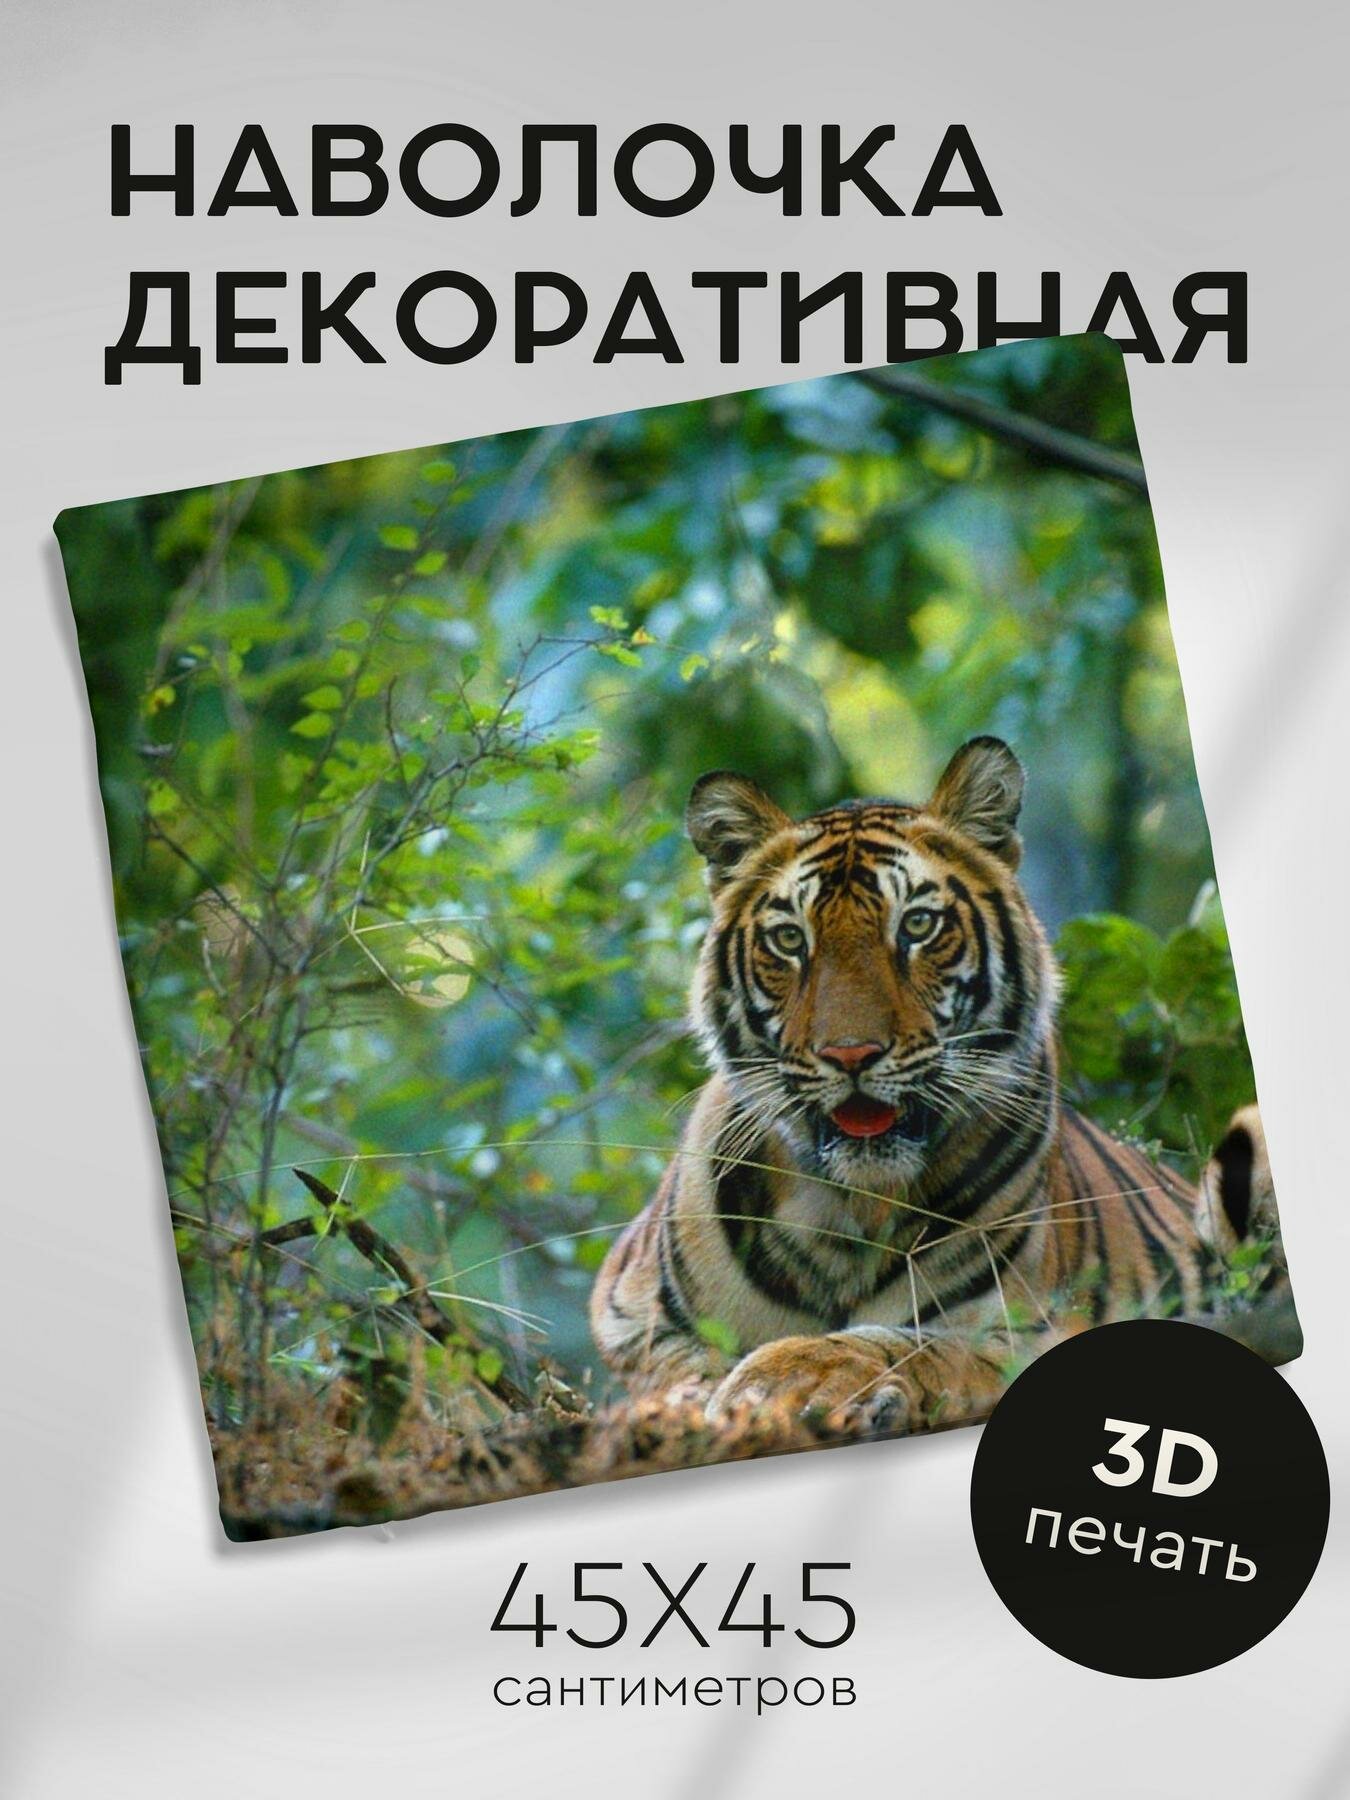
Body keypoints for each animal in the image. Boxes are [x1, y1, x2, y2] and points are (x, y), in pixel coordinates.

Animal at [590, 736, 1293, 1435]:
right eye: (790, 939)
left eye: (918, 927)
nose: (850, 1054)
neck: (850, 1217)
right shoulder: (624, 1312)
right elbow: (675, 1365)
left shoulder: (1033, 1326)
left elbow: (918, 1344)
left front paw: (791, 1374)